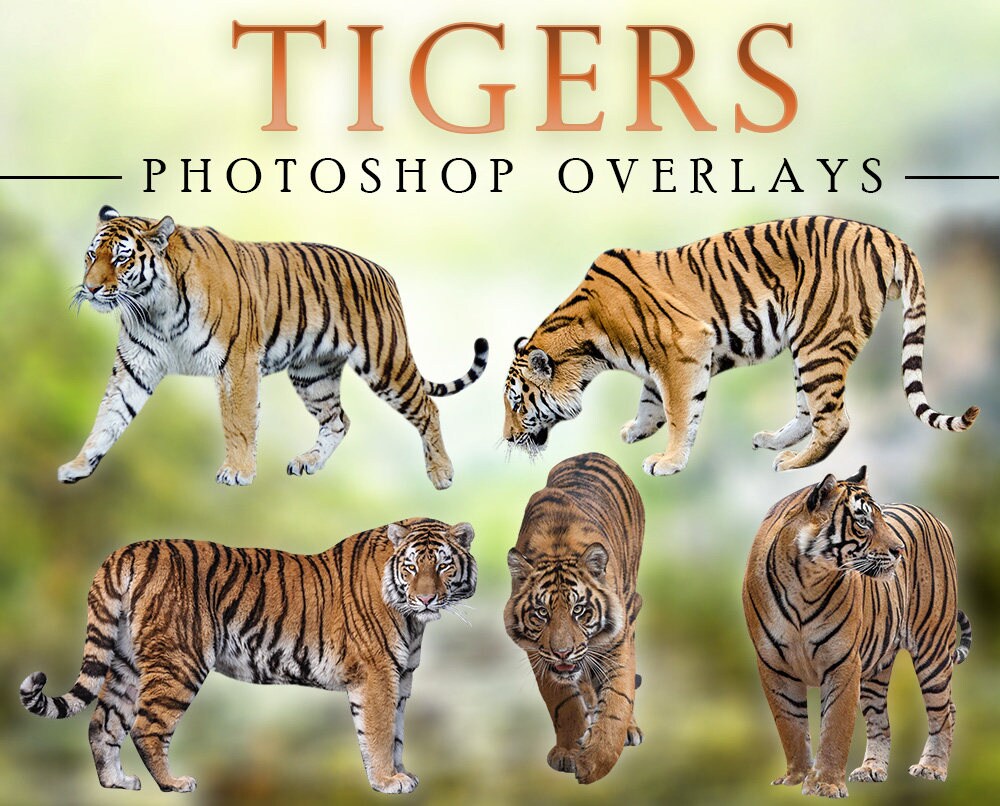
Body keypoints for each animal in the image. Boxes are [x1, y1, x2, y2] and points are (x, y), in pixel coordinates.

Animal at [19, 518, 477, 794]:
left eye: (444, 566)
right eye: (412, 567)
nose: (427, 598)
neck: (414, 622)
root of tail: (126, 551)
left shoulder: (401, 679)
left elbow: (396, 734)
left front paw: (402, 774)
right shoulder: (378, 676)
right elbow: (379, 734)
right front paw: (387, 781)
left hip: (127, 663)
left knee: (102, 722)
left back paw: (116, 782)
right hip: (179, 662)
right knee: (146, 727)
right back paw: (174, 784)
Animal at [59, 205, 489, 490]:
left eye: (121, 258)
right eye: (91, 254)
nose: (90, 288)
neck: (152, 307)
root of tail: (384, 272)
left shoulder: (236, 362)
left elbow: (237, 421)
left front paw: (237, 472)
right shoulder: (136, 365)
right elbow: (108, 417)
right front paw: (78, 465)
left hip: (386, 364)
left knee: (427, 408)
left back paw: (442, 473)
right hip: (313, 374)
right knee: (339, 420)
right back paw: (309, 462)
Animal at [503, 216, 979, 476]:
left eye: (517, 403)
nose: (507, 438)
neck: (589, 345)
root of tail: (886, 236)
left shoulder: (682, 351)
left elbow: (681, 413)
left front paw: (668, 461)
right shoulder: (659, 362)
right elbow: (651, 401)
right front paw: (637, 429)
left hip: (820, 341)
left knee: (835, 419)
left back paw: (792, 462)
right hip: (805, 346)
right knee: (810, 409)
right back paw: (774, 440)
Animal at [504, 452, 644, 785]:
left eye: (579, 610)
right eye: (541, 613)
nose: (563, 652)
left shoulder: (618, 640)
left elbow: (618, 699)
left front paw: (595, 763)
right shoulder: (538, 652)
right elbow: (562, 703)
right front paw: (569, 752)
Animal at [742, 467, 972, 798]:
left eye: (881, 520)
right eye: (863, 521)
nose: (900, 550)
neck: (805, 580)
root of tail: (936, 517)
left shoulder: (843, 662)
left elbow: (835, 727)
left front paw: (826, 784)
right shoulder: (773, 666)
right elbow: (791, 727)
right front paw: (795, 779)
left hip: (933, 648)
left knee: (944, 712)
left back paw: (932, 768)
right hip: (877, 667)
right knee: (881, 721)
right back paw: (872, 769)